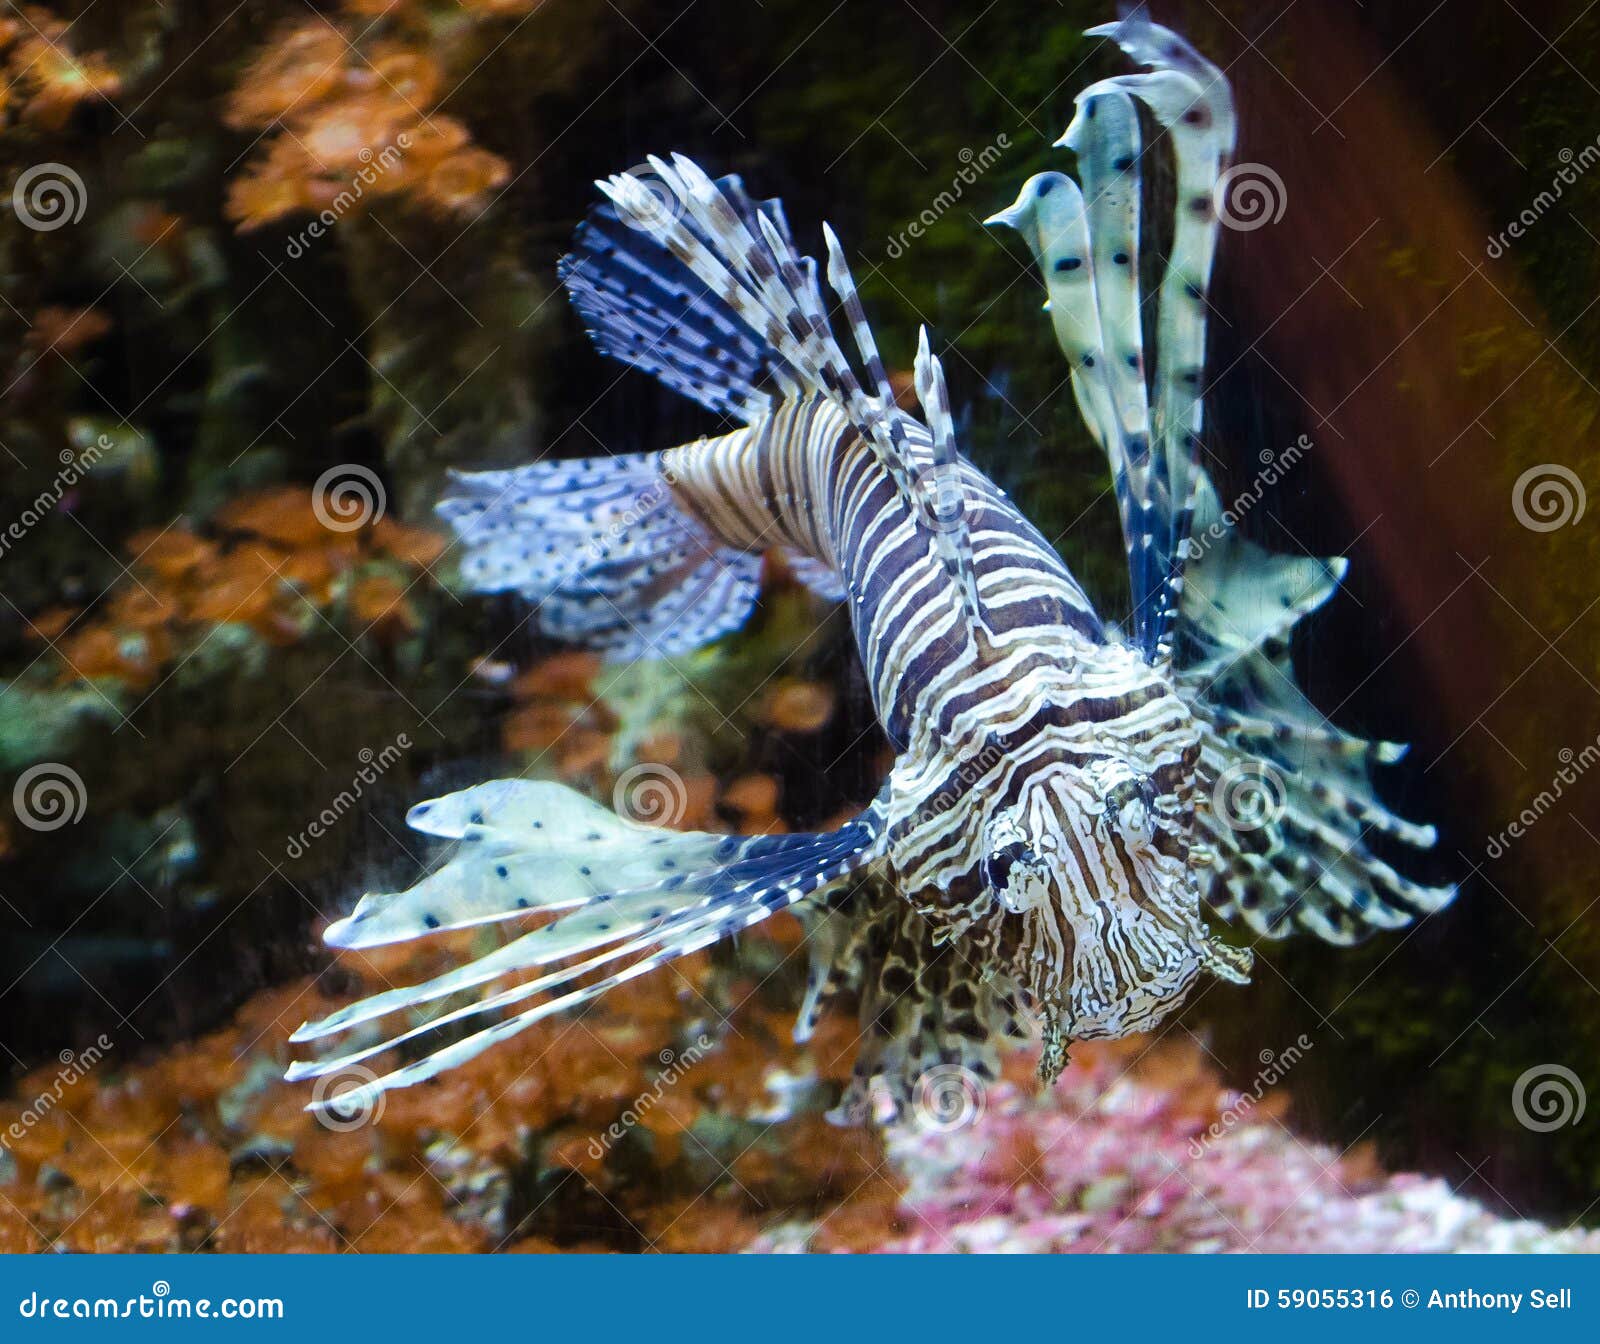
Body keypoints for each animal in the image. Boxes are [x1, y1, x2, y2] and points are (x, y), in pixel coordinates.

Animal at [287, 12, 1452, 1123]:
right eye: (1002, 874)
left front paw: (1344, 859)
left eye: (1138, 810)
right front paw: (926, 1073)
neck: (1009, 704)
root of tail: (737, 440)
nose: (1144, 990)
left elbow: (1269, 746)